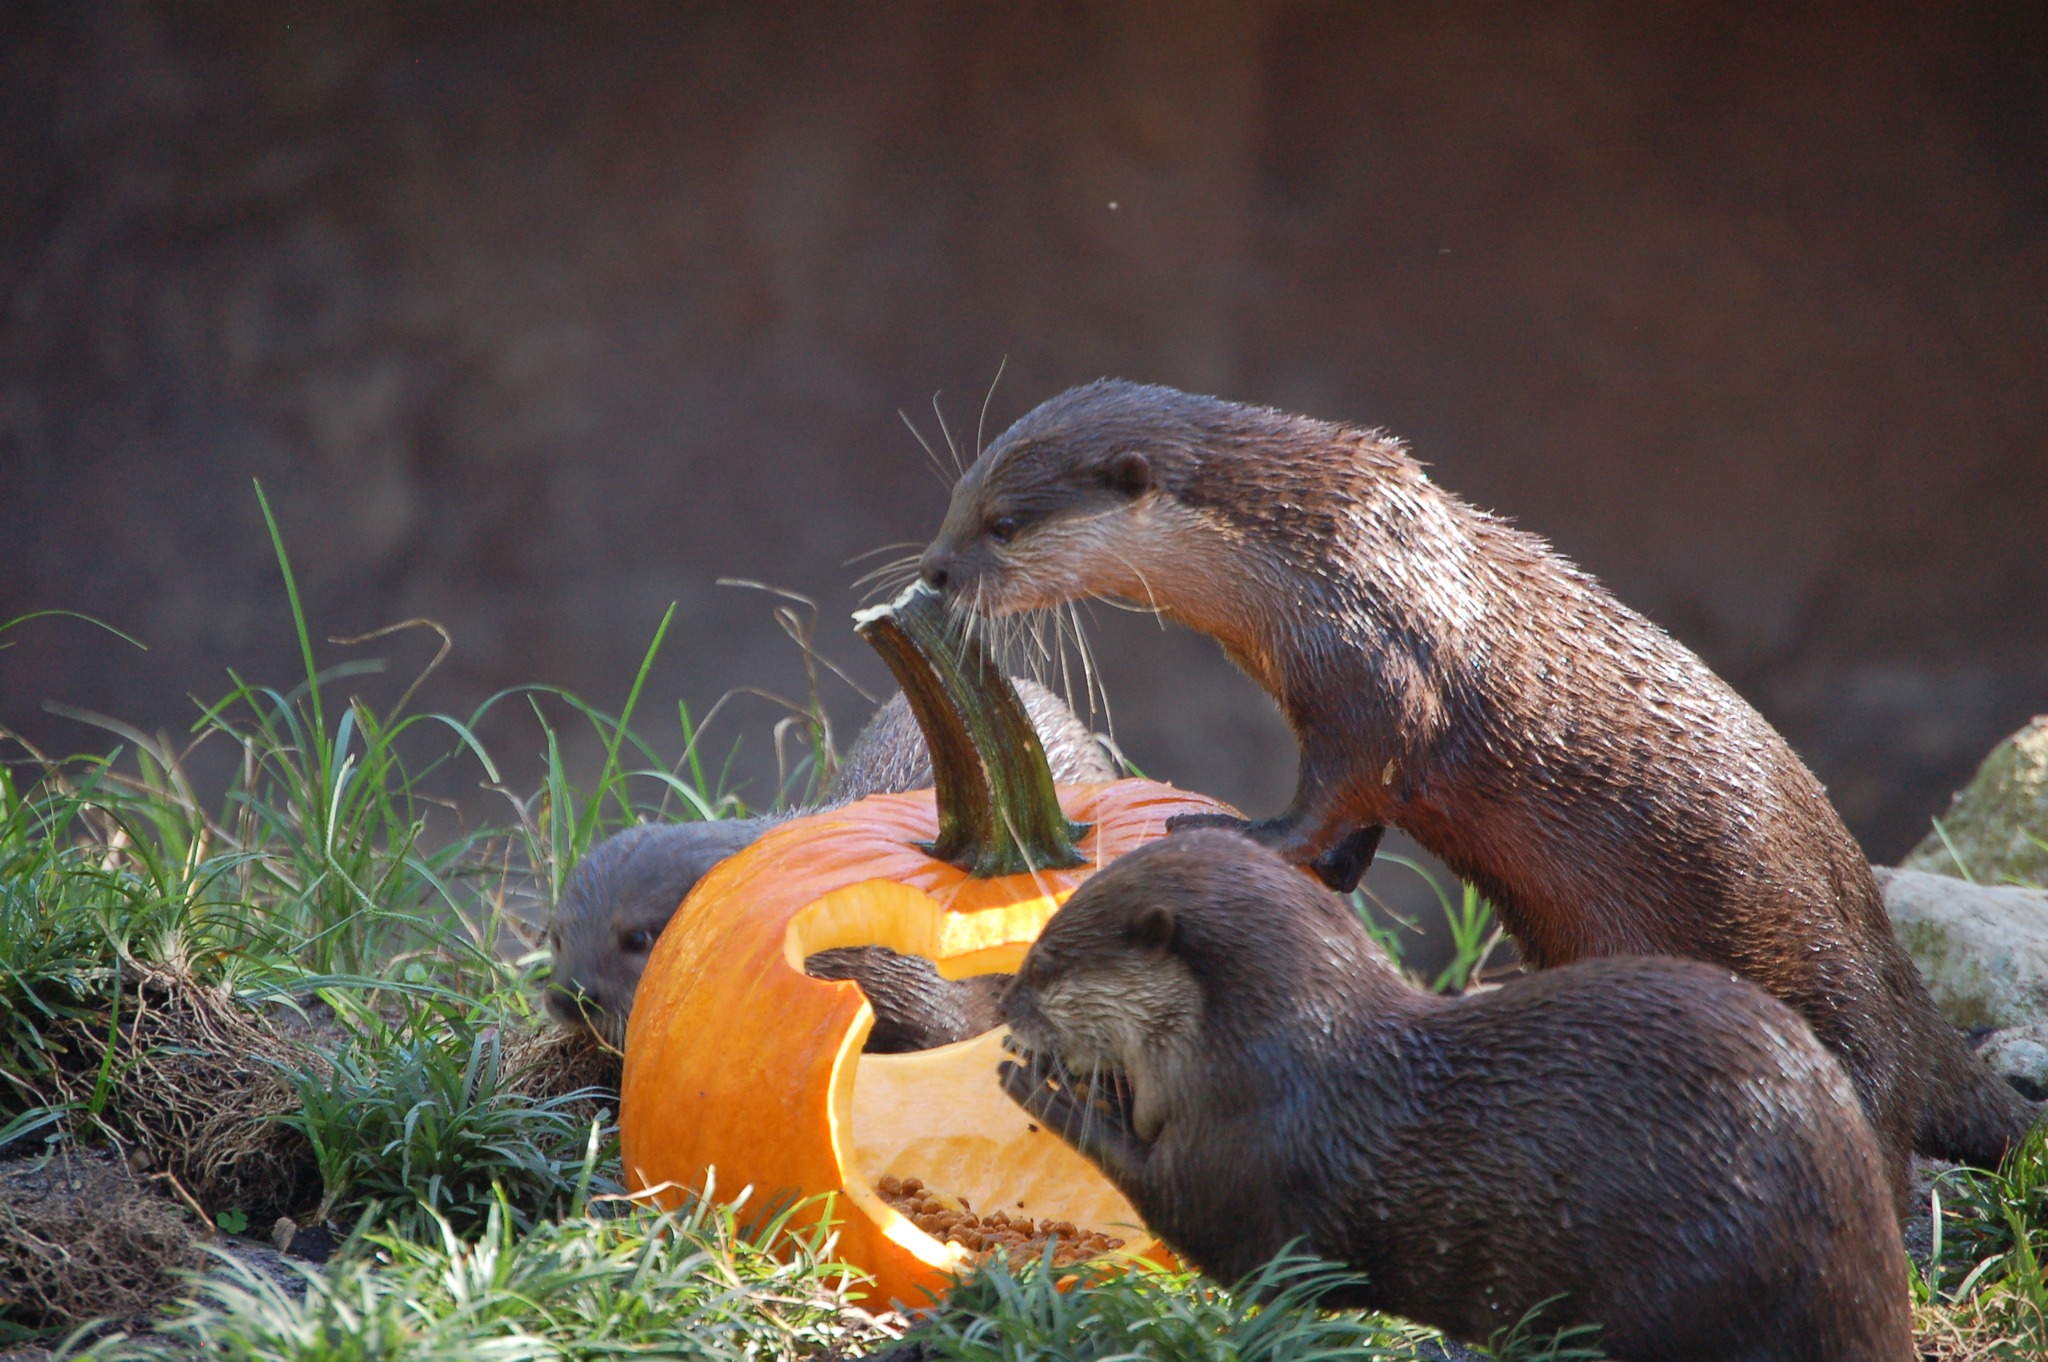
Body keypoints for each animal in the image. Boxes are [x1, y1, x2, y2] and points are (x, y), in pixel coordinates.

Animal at [919, 378, 2035, 1200]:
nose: (933, 571)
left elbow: (1334, 791)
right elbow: (1355, 826)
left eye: (1003, 524)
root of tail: (1902, 983)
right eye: (955, 499)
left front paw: (1228, 826)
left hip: (1824, 988)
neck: (1309, 554)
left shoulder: (1374, 667)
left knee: (1880, 1122)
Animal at [1000, 831, 1913, 1360]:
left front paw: (1035, 1082)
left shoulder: (1255, 1160)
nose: (1005, 1005)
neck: (1278, 1052)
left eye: (1044, 961)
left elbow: (1181, 1207)